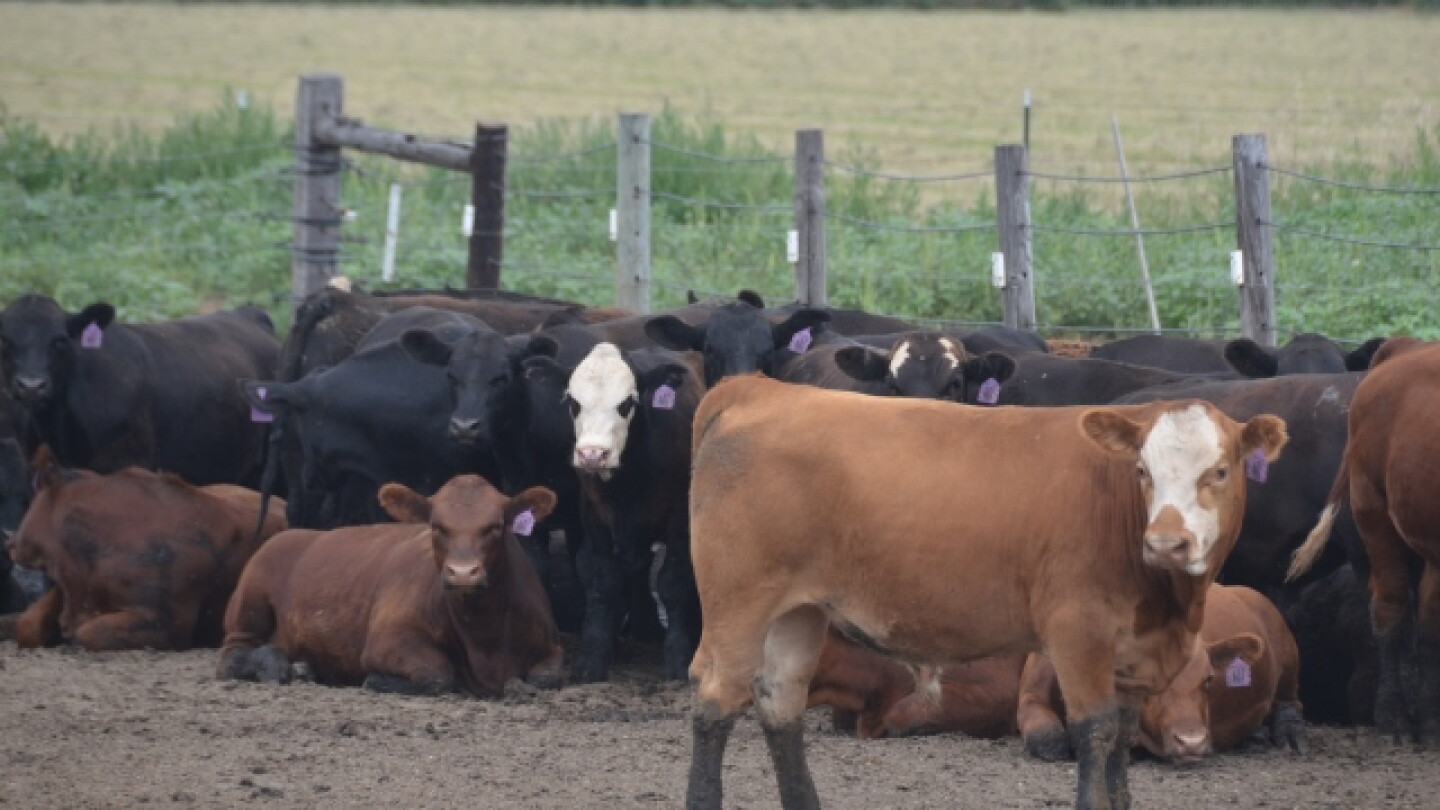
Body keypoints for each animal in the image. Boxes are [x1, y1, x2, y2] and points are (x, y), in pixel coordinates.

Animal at [218, 475, 564, 697]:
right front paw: (377, 680)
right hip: (250, 602)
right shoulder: (388, 639)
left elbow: (546, 677)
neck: (486, 639)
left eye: (495, 527)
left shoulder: (551, 646)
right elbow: (437, 674)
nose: (463, 573)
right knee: (233, 655)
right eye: (436, 526)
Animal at [1018, 584, 1304, 765]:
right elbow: (1047, 736)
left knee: (1290, 700)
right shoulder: (1031, 692)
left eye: (1209, 679)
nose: (1191, 741)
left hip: (1287, 651)